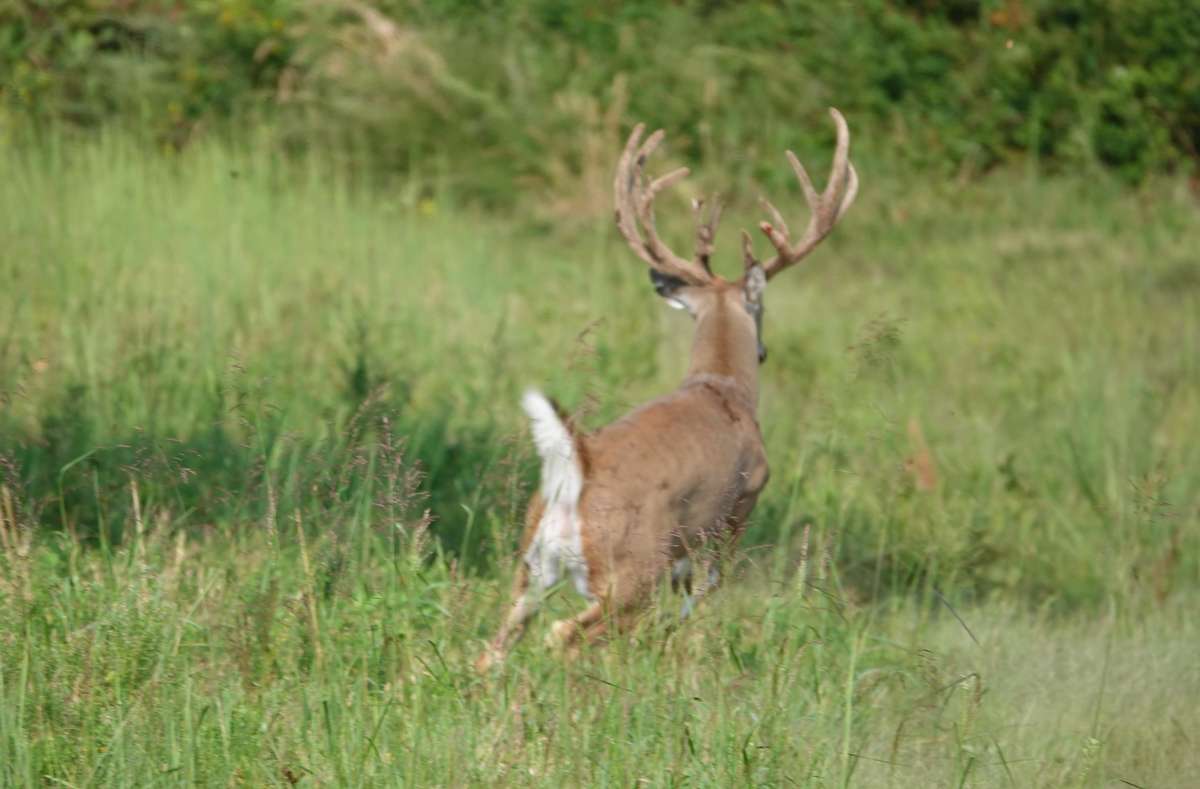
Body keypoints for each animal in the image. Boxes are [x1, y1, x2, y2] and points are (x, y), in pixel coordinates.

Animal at [475, 109, 858, 671]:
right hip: (631, 569)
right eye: (762, 311)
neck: (722, 386)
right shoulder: (740, 506)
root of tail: (576, 466)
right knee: (565, 635)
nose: (765, 351)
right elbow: (705, 593)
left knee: (496, 644)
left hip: (529, 565)